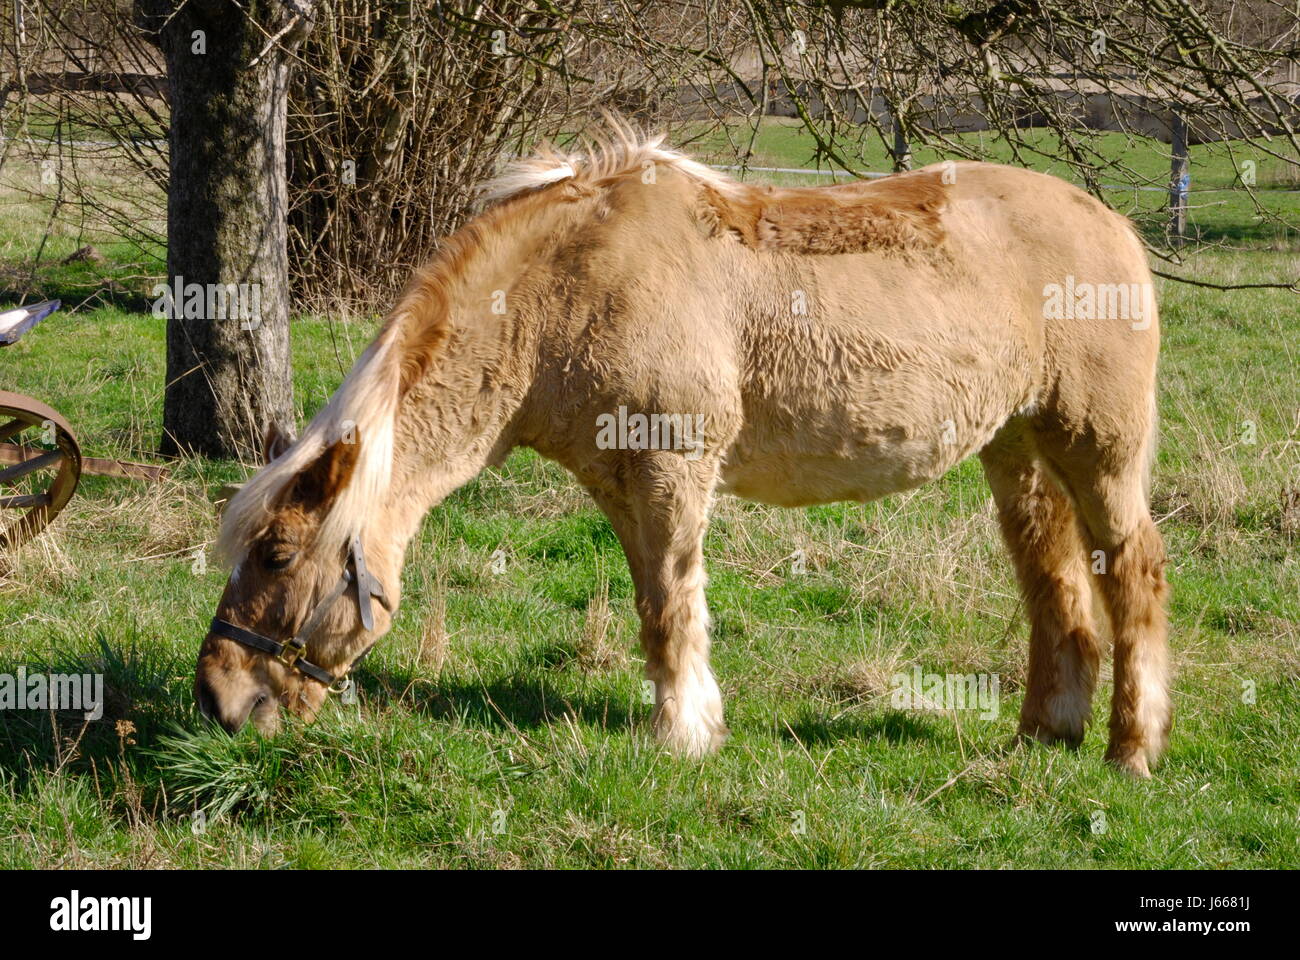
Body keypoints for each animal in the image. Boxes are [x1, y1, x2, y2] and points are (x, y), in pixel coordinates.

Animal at [195, 120, 1170, 777]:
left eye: (276, 553)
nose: (217, 697)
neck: (566, 289)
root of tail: (1112, 224)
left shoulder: (672, 469)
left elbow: (671, 604)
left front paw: (682, 735)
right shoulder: (624, 484)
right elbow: (654, 601)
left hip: (1097, 451)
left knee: (1134, 573)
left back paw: (1132, 748)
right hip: (1019, 451)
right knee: (1055, 586)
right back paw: (1045, 732)